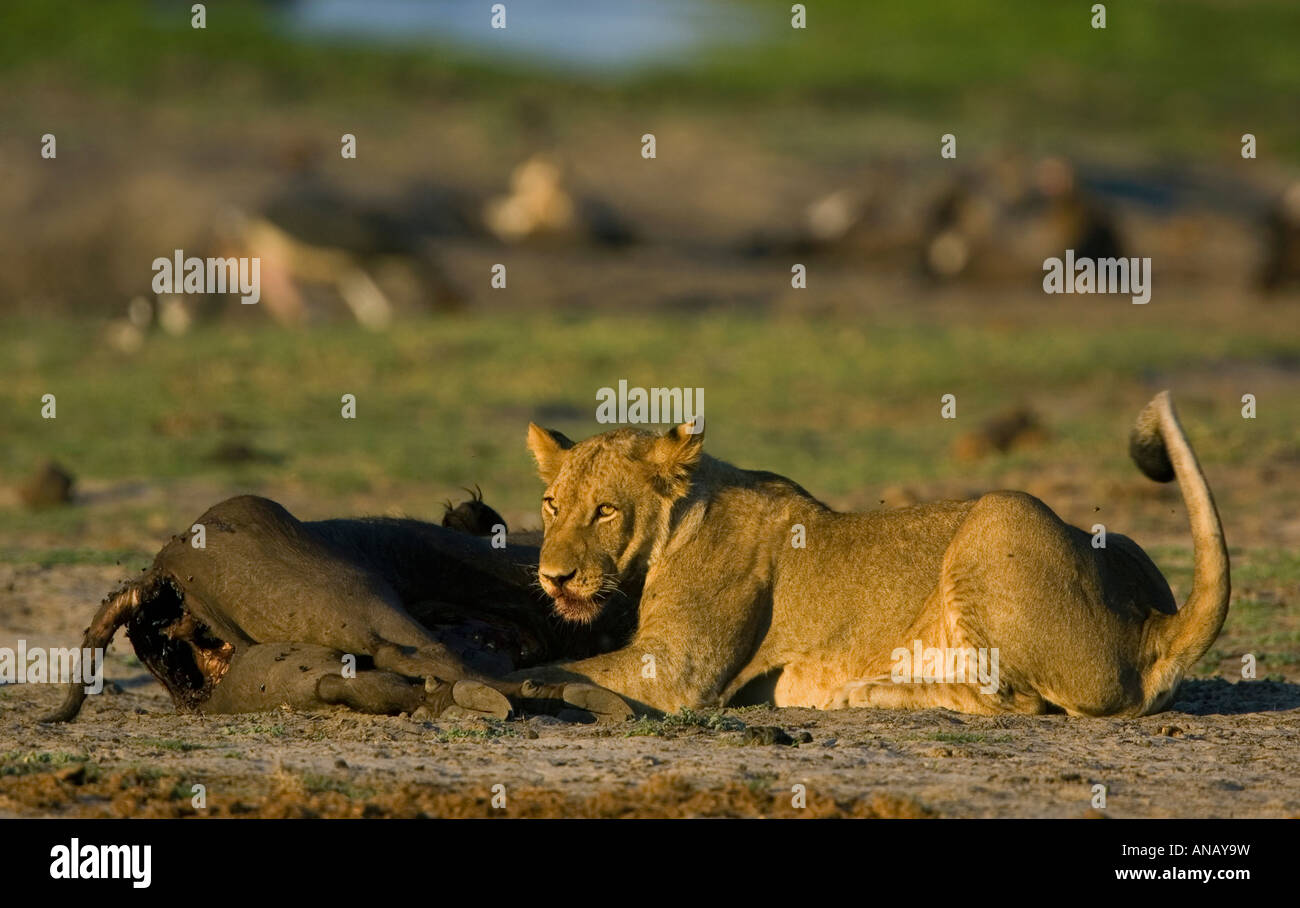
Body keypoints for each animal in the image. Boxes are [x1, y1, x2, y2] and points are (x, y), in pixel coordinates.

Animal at [509, 391, 1229, 718]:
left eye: (605, 510)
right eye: (552, 505)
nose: (553, 576)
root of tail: (1150, 627)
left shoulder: (678, 672)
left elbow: (564, 665)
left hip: (1002, 511)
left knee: (1014, 700)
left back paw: (866, 689)